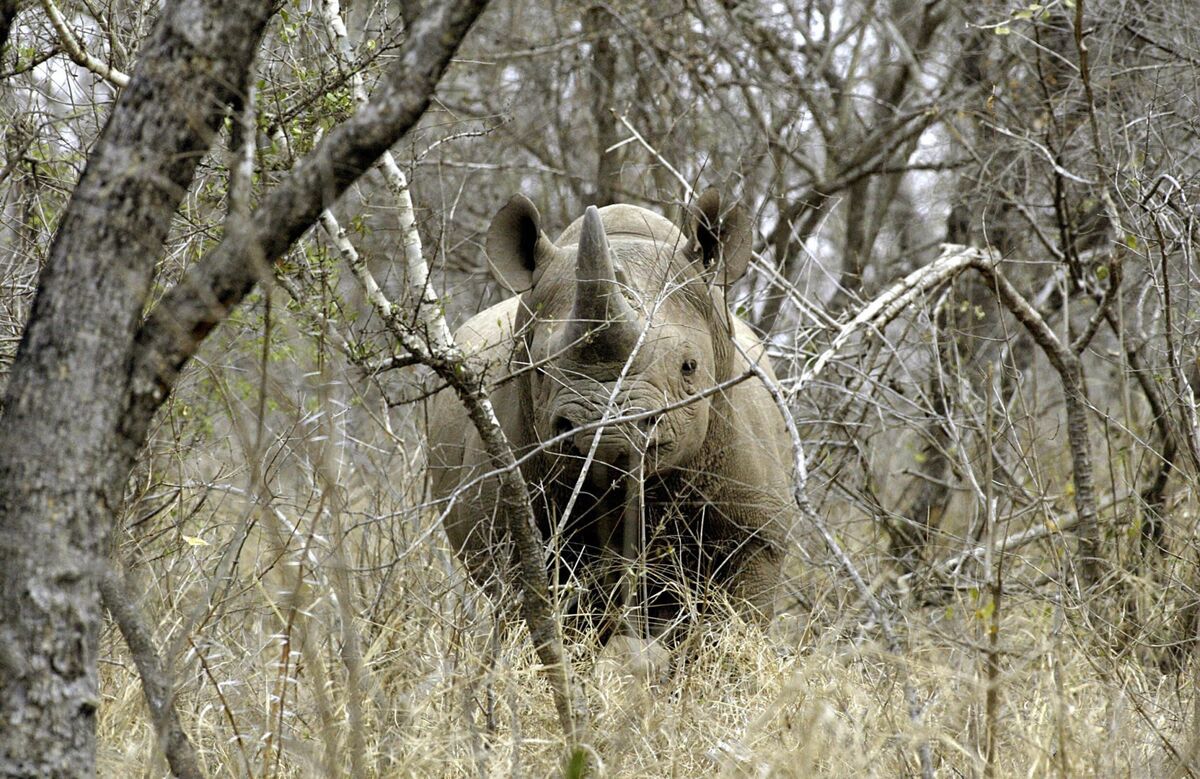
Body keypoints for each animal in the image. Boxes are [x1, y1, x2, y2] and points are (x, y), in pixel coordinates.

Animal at [427, 190, 796, 638]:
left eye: (689, 367)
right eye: (539, 370)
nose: (605, 434)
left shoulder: (756, 534)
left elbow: (730, 625)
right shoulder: (510, 535)